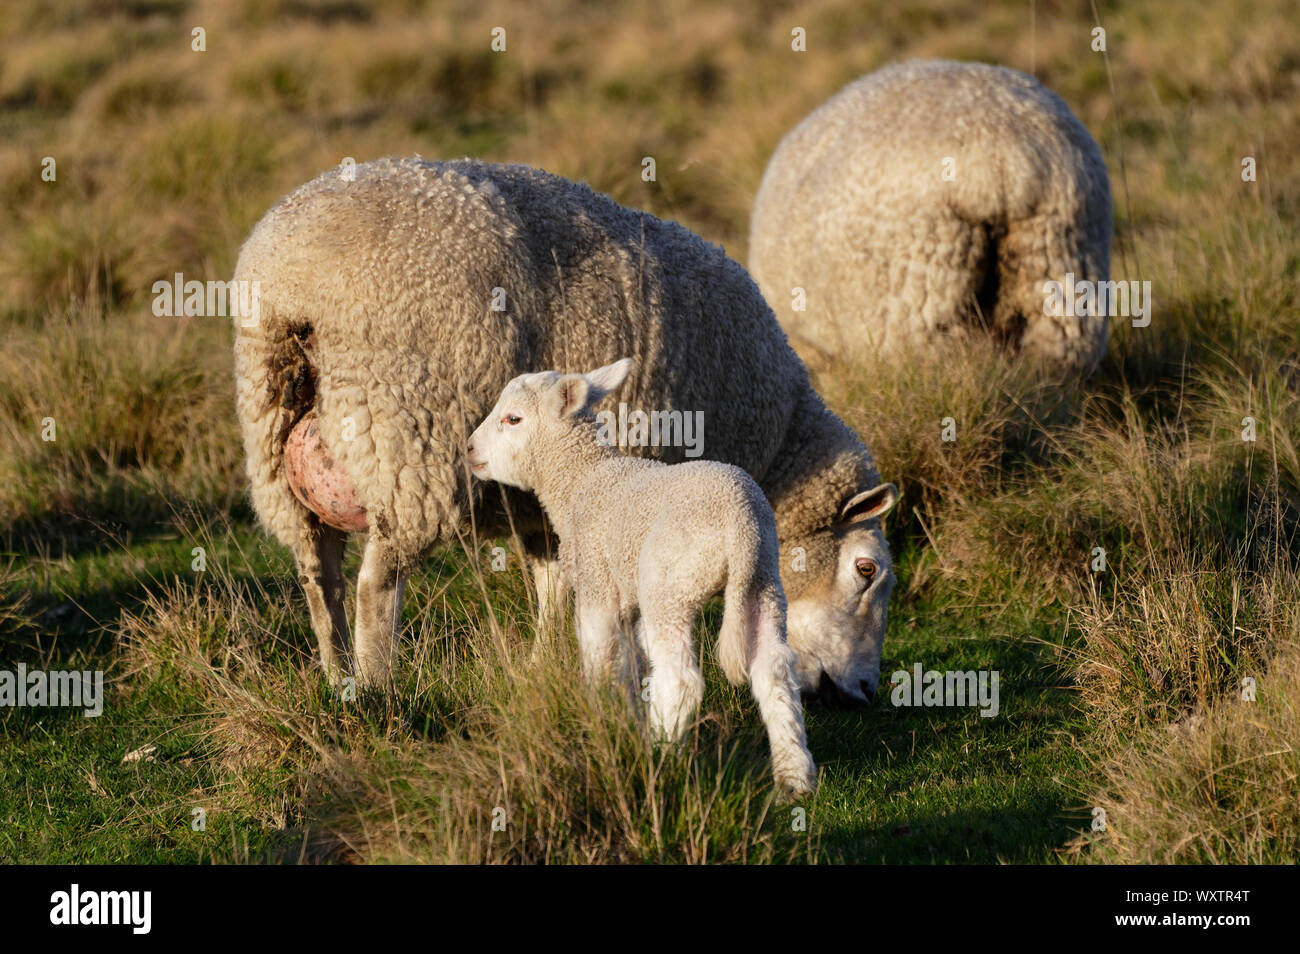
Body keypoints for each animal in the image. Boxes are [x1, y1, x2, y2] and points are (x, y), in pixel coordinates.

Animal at [232, 157, 899, 701]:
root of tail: (288, 279)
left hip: (274, 427)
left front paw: (542, 665)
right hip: (407, 436)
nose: (863, 691)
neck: (778, 445)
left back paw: (337, 675)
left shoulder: (548, 505)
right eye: (866, 570)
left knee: (317, 573)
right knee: (375, 584)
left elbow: (554, 586)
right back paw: (375, 685)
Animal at [466, 357, 818, 796]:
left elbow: (600, 659)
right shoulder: (628, 599)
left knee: (681, 681)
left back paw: (658, 755)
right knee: (773, 672)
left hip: (670, 584)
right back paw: (795, 778)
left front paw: (603, 721)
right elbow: (629, 665)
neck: (581, 478)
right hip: (764, 583)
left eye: (513, 418)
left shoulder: (597, 585)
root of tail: (741, 525)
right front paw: (626, 718)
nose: (469, 449)